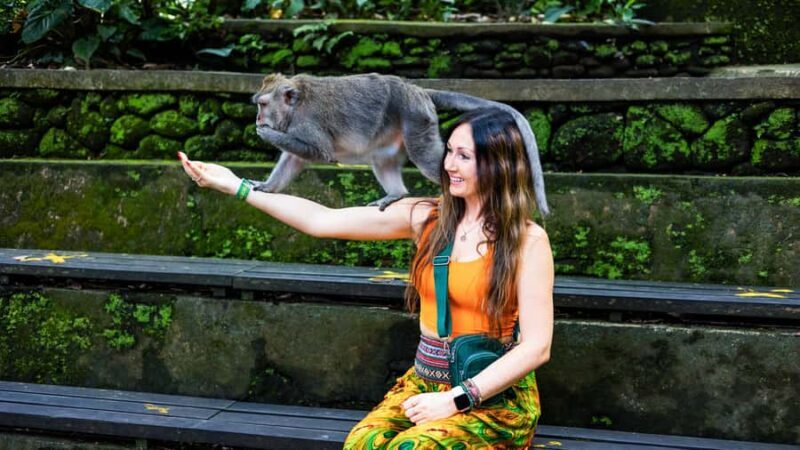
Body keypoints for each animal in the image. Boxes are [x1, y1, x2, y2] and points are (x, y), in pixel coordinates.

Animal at [251, 73, 549, 215]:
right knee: (382, 160)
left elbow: (318, 152)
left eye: (263, 105)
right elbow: (293, 159)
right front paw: (267, 186)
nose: (257, 117)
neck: (295, 105)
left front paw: (265, 133)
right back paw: (396, 193)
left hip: (416, 118)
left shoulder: (307, 123)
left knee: (426, 156)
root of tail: (418, 90)